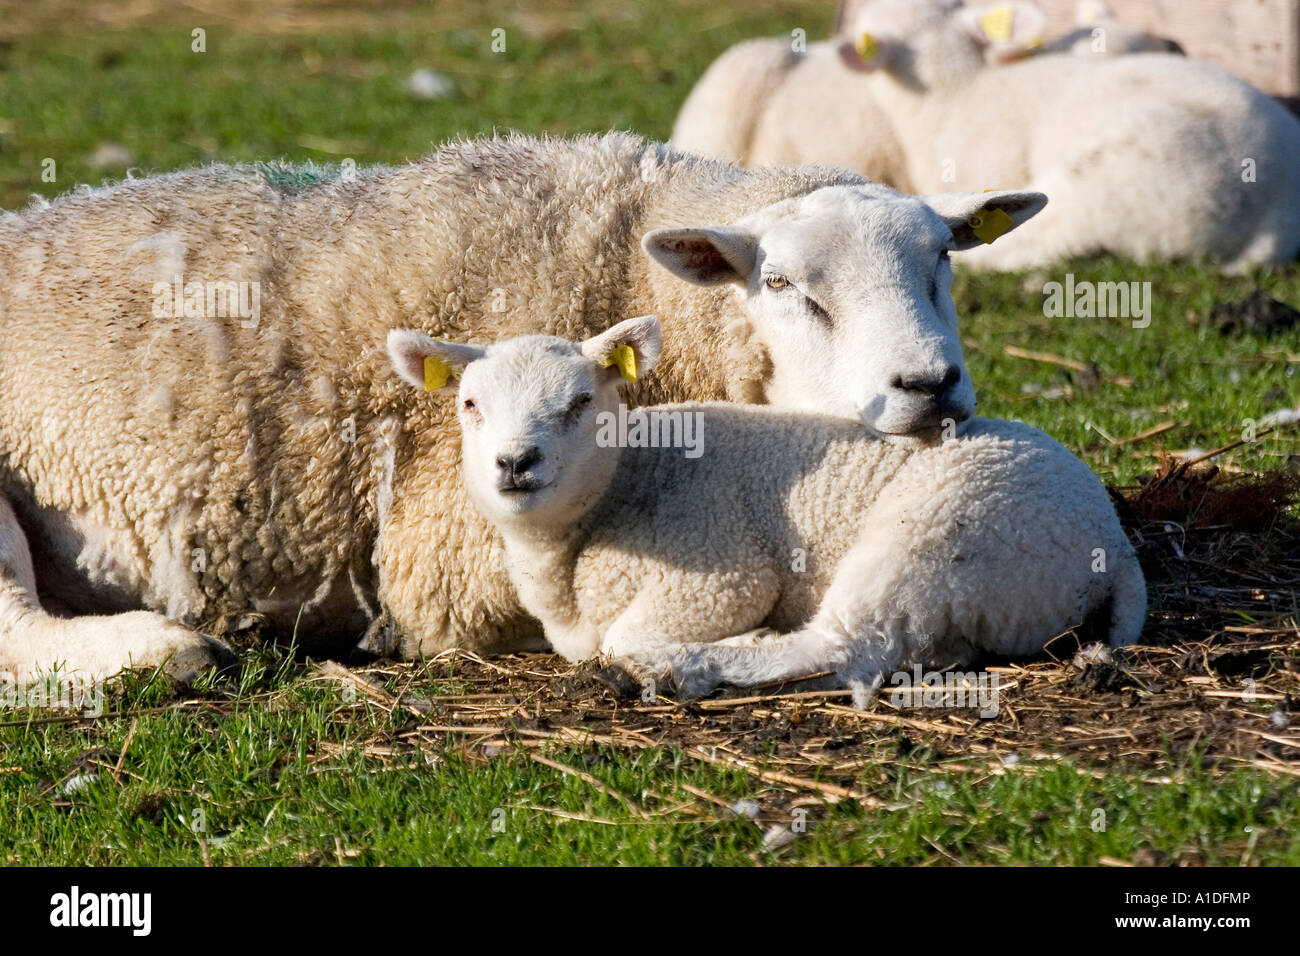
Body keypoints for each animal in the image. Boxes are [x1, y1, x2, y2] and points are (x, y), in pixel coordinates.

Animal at [0, 131, 1047, 685]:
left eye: (944, 259)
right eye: (784, 284)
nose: (928, 386)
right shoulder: (441, 550)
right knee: (18, 633)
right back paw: (163, 651)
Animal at [388, 314, 1146, 706]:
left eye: (579, 403)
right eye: (469, 404)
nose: (516, 463)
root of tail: (1113, 543)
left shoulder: (717, 571)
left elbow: (627, 633)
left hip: (941, 528)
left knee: (842, 644)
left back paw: (697, 665)